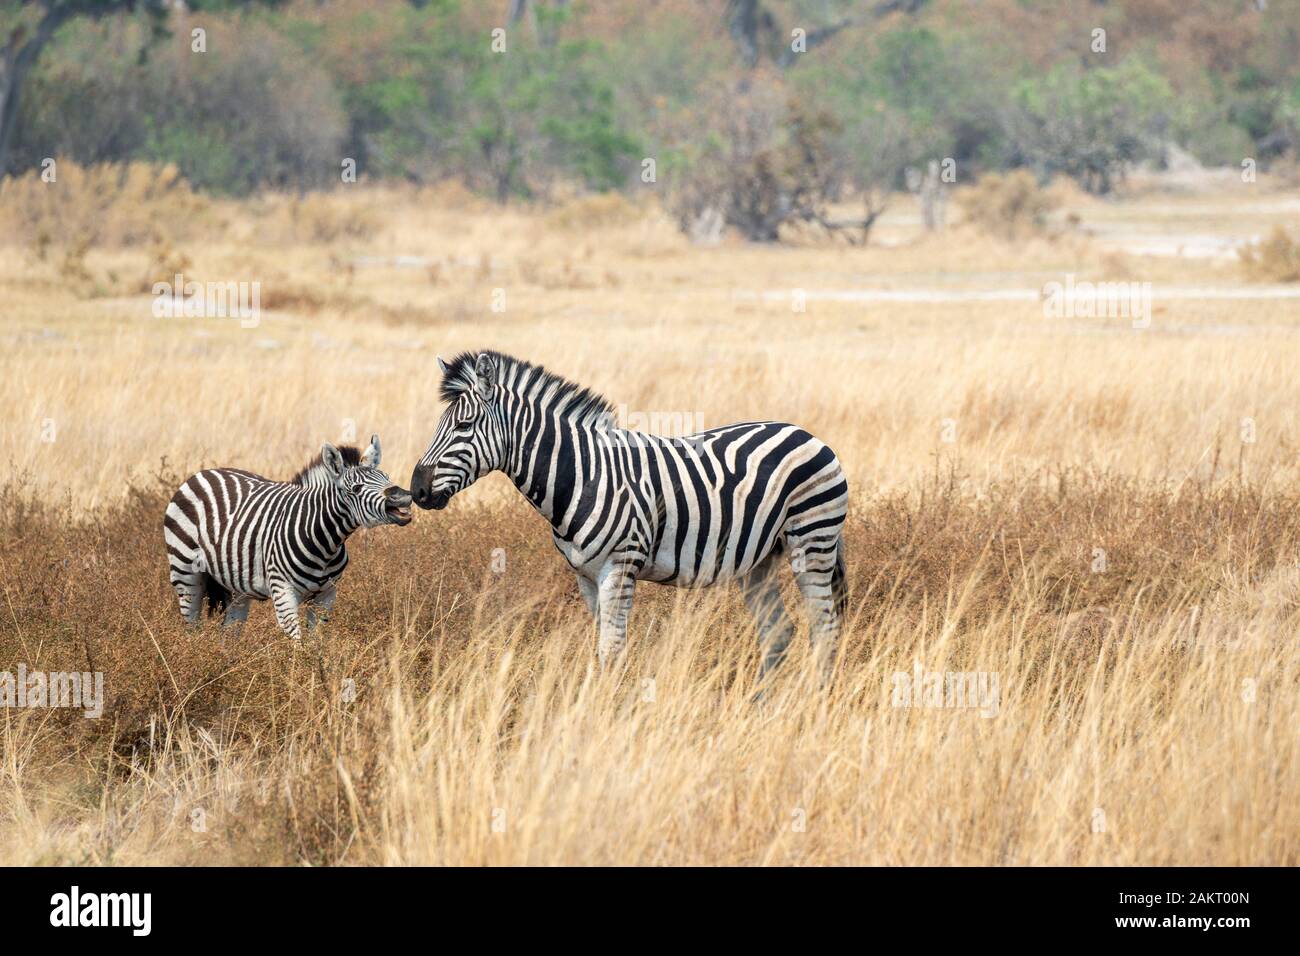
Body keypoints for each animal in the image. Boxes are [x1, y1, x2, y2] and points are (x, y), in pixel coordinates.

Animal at [163, 435, 413, 639]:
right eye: (357, 489)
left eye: (386, 476)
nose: (403, 496)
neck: (326, 542)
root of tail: (204, 473)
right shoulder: (283, 592)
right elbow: (298, 646)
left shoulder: (327, 595)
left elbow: (315, 644)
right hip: (186, 574)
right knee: (192, 628)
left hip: (236, 588)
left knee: (229, 634)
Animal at [409, 352, 849, 682]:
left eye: (464, 425)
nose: (416, 490)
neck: (581, 474)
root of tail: (808, 434)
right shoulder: (585, 575)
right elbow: (600, 644)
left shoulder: (620, 566)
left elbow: (612, 649)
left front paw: (608, 713)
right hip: (759, 561)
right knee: (779, 633)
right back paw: (759, 707)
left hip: (812, 542)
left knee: (824, 629)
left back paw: (814, 703)